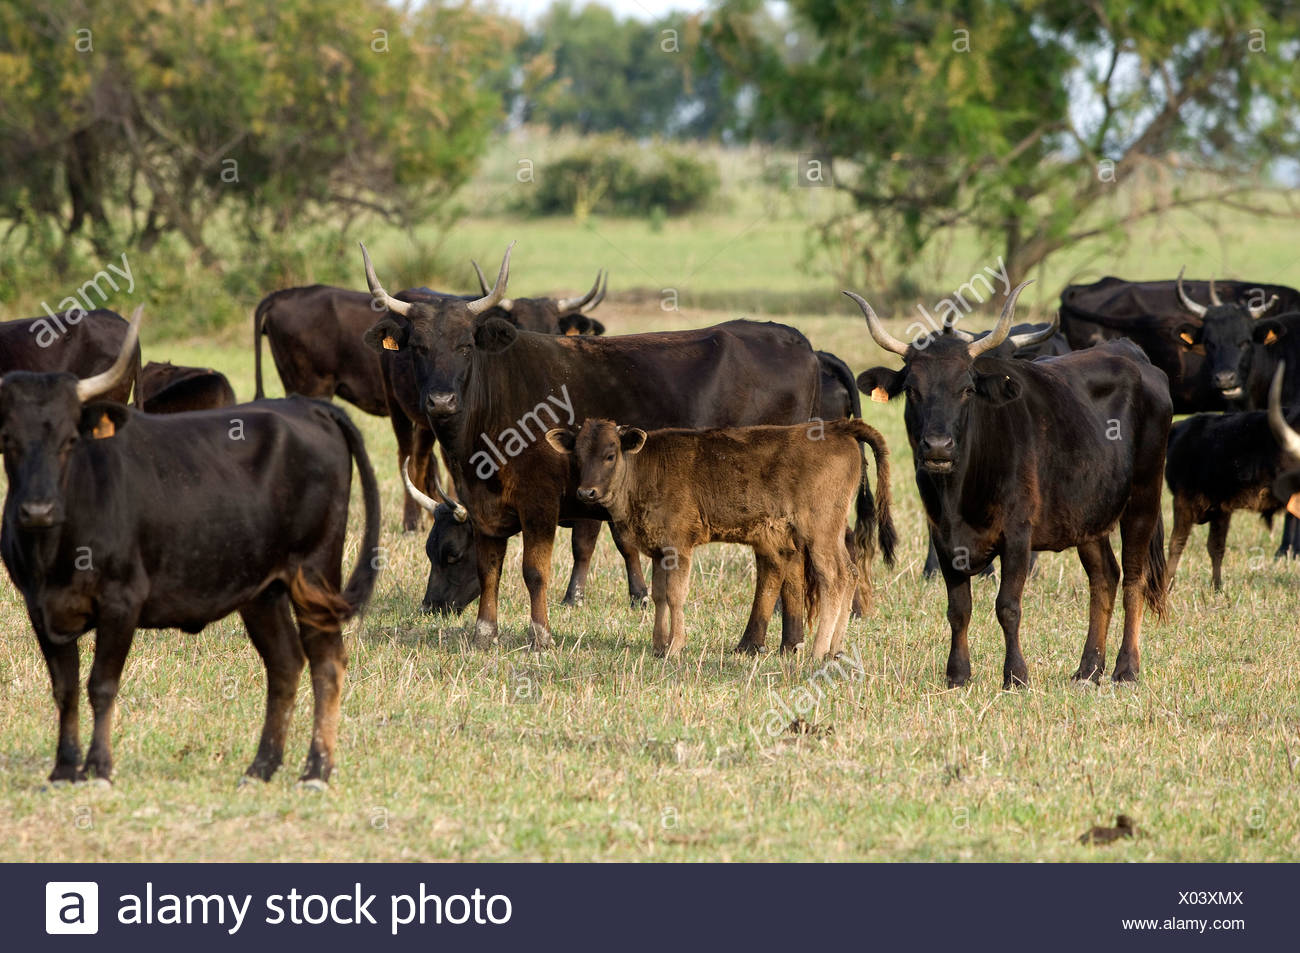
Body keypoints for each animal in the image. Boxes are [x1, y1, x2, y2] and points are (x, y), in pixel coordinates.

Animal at [360, 243, 827, 652]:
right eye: (418, 347)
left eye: (465, 345)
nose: (440, 401)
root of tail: (794, 339)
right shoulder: (487, 508)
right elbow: (491, 567)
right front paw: (484, 634)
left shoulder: (540, 503)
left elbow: (535, 570)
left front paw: (542, 636)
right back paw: (779, 641)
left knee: (779, 565)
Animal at [545, 418, 896, 659]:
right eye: (577, 455)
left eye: (610, 454)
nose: (586, 492)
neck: (644, 466)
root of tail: (838, 427)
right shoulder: (660, 551)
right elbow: (659, 595)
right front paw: (658, 645)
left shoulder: (679, 547)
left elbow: (675, 595)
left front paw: (675, 647)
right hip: (829, 534)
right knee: (851, 572)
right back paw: (835, 649)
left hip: (819, 532)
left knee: (834, 577)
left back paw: (818, 650)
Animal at [851, 281, 1171, 688]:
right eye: (911, 389)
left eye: (967, 388)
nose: (938, 446)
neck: (959, 491)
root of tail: (1133, 354)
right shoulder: (943, 538)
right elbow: (958, 608)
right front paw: (958, 674)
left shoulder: (1018, 535)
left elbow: (1008, 606)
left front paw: (1016, 675)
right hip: (1089, 517)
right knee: (1104, 579)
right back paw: (1088, 669)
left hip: (1143, 500)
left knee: (1134, 579)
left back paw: (1126, 668)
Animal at [1165, 367, 1300, 591]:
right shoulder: (1187, 500)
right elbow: (1178, 543)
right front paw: (1166, 586)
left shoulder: (1221, 508)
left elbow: (1216, 547)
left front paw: (1217, 588)